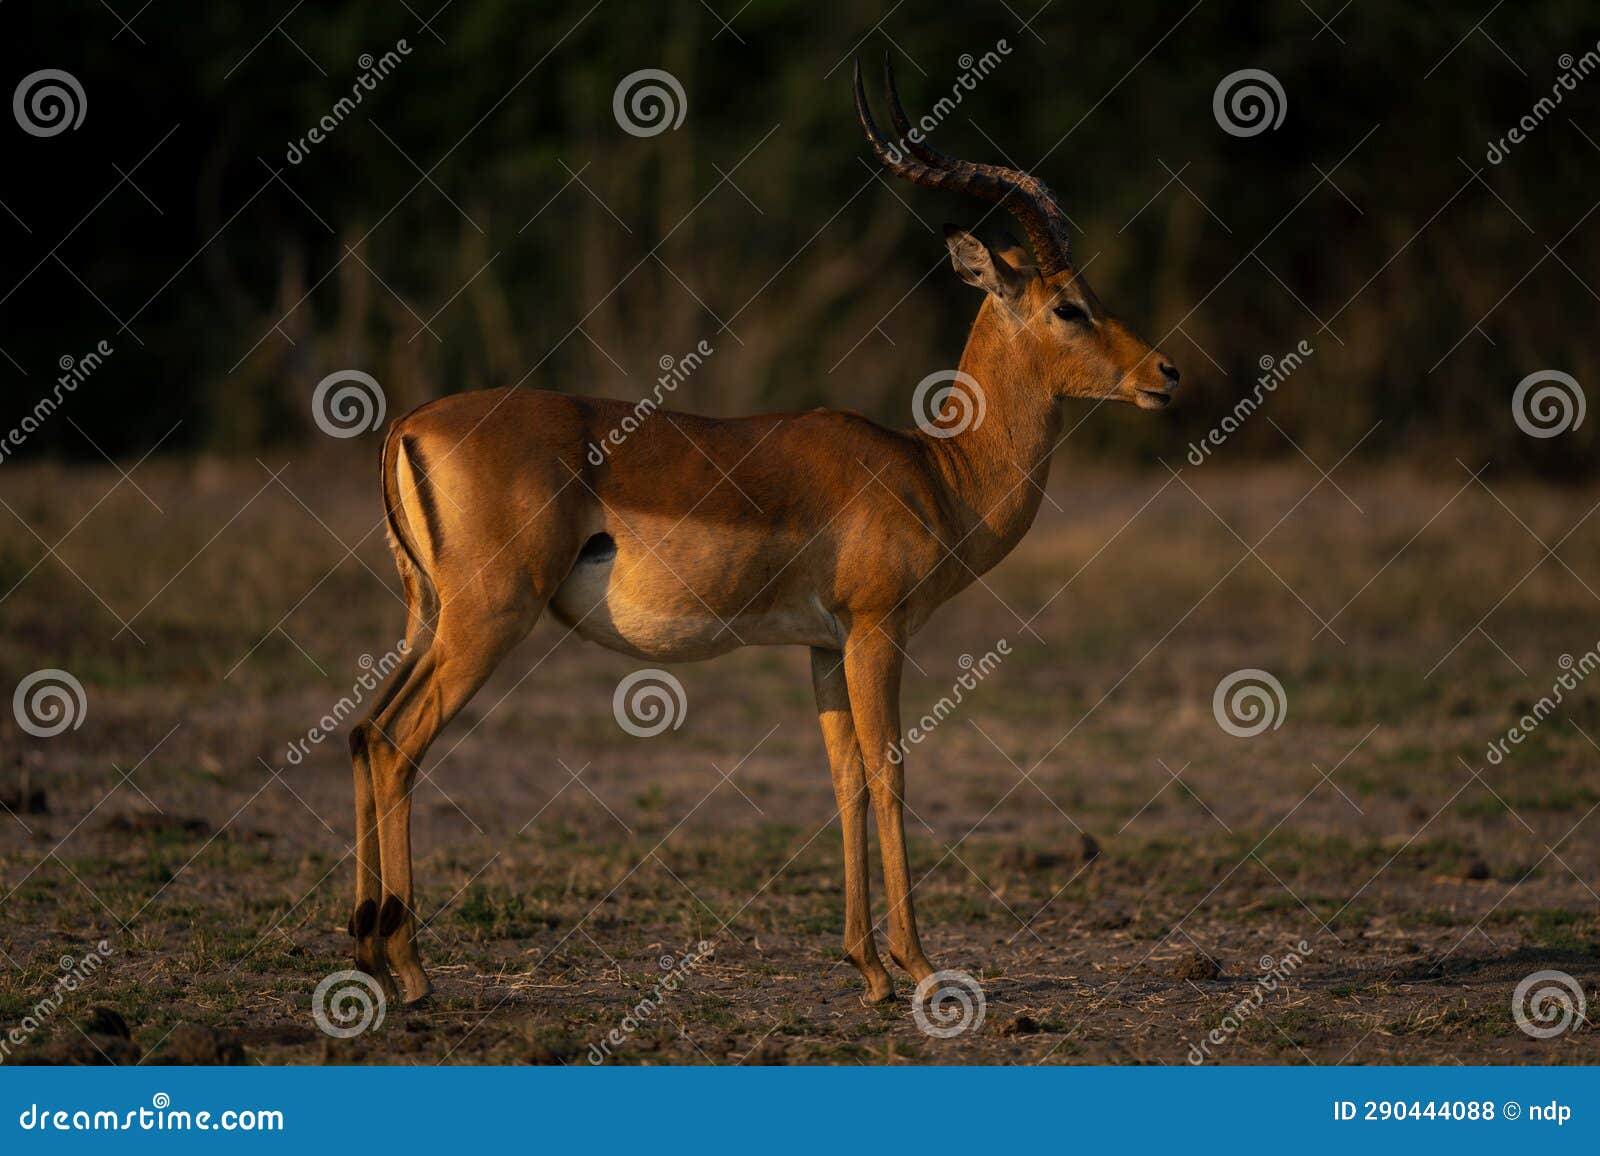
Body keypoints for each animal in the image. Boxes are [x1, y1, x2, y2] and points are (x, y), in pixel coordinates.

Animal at [346, 60, 1179, 1009]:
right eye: (1071, 307)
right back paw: (411, 969)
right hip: (487, 619)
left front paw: (868, 969)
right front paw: (920, 966)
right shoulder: (877, 629)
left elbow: (845, 777)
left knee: (362, 731)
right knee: (397, 743)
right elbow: (890, 771)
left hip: (426, 619)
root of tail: (406, 423)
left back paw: (369, 957)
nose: (1165, 374)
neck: (936, 469)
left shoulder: (822, 645)